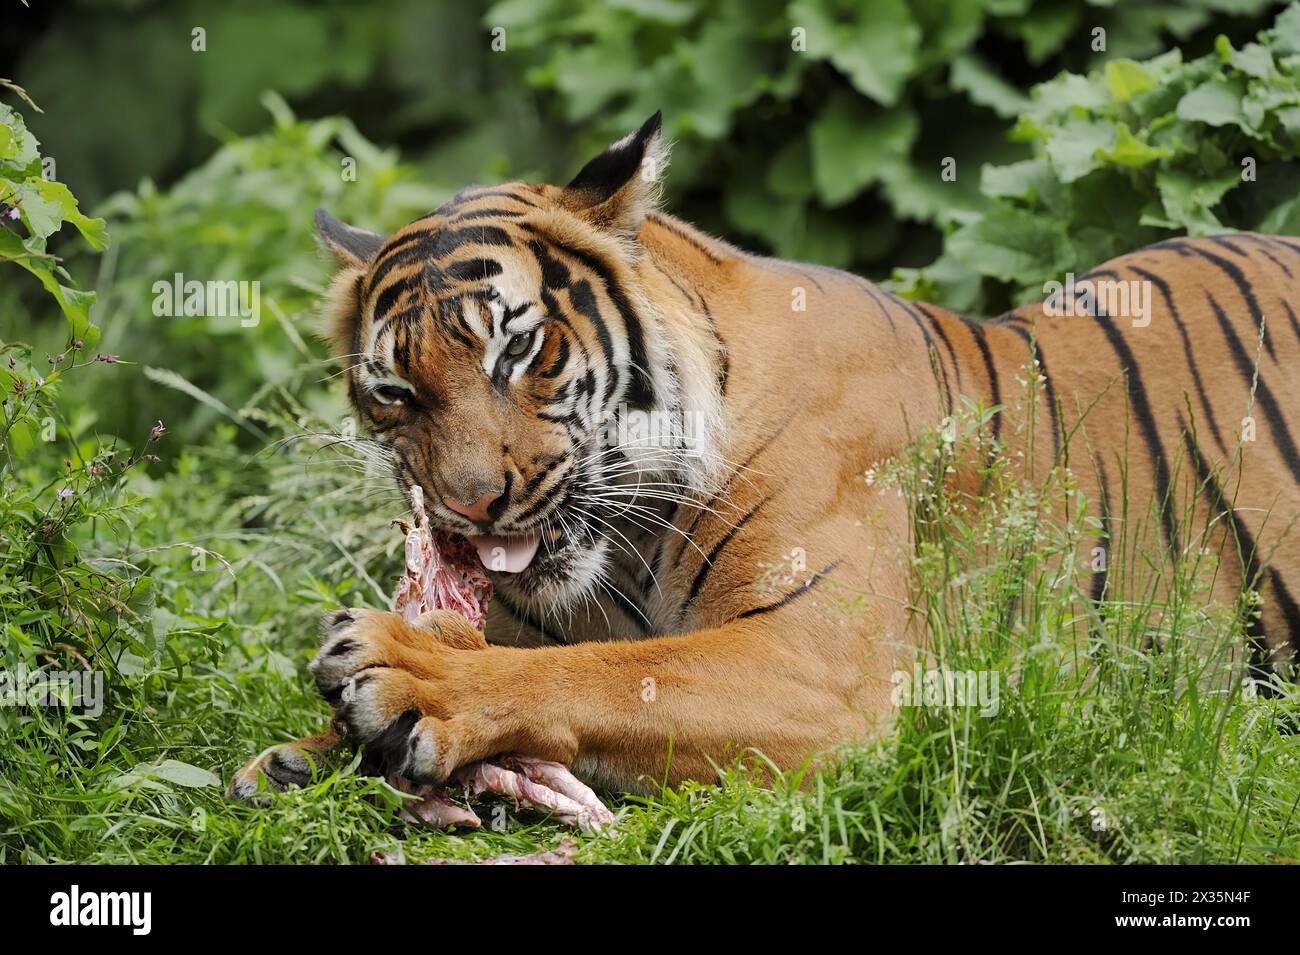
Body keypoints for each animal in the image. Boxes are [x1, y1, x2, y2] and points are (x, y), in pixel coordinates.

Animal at [228, 111, 1300, 800]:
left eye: (519, 350)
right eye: (396, 392)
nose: (469, 507)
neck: (628, 543)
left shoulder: (822, 665)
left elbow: (604, 673)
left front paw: (401, 668)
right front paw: (292, 755)